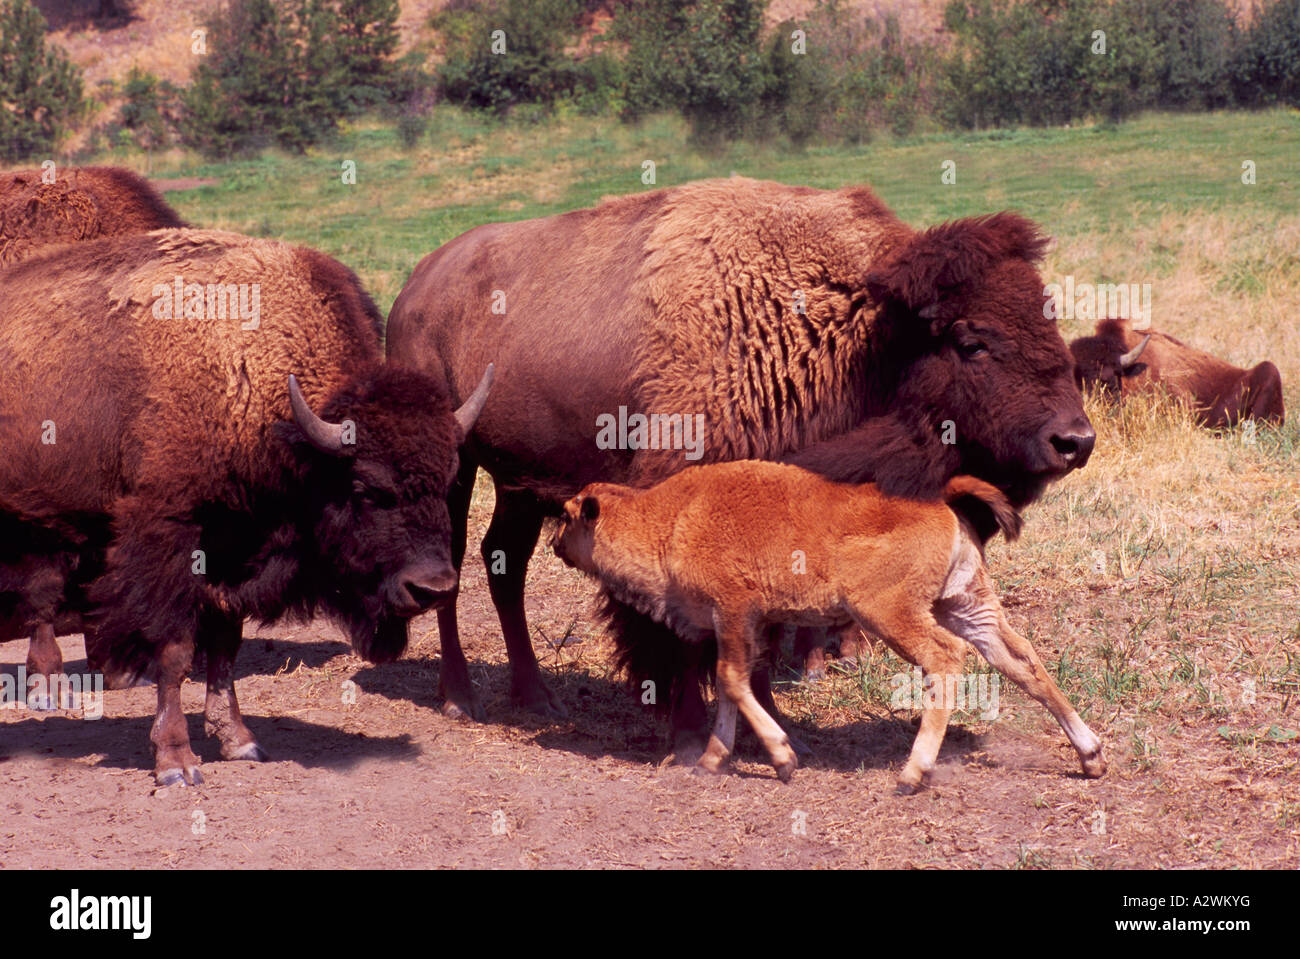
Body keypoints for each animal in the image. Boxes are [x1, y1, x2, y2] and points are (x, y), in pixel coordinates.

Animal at [0, 229, 492, 786]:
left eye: (448, 481)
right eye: (365, 487)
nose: (433, 589)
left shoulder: (233, 555)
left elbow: (224, 646)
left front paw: (239, 741)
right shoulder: (170, 540)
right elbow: (175, 651)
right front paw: (176, 762)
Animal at [387, 177, 1095, 755]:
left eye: (1048, 317)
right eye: (971, 341)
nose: (1074, 440)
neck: (849, 333)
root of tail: (417, 285)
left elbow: (761, 634)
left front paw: (774, 728)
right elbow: (681, 629)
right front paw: (687, 734)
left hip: (518, 483)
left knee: (504, 562)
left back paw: (535, 696)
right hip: (454, 465)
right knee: (455, 562)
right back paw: (459, 696)